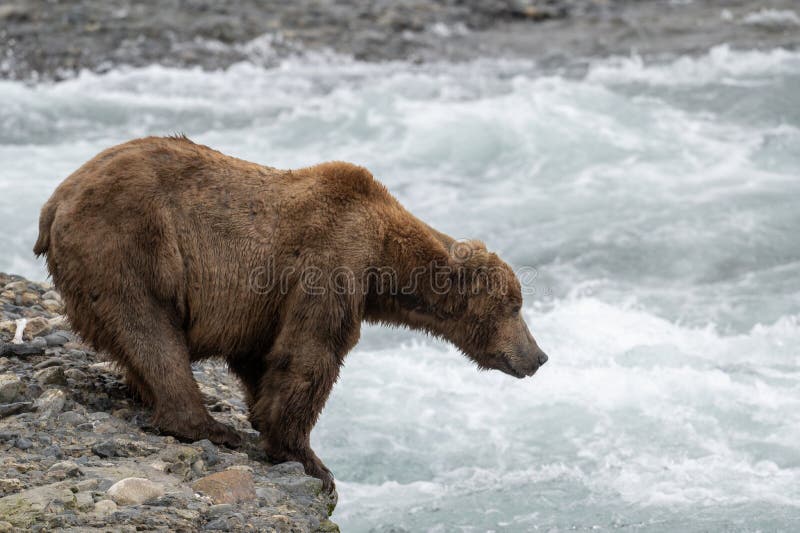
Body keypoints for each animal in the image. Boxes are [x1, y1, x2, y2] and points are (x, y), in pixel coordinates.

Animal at [33, 136, 548, 491]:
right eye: (516, 305)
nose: (539, 356)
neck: (384, 260)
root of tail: (54, 201)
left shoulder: (264, 304)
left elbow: (260, 357)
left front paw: (271, 426)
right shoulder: (332, 262)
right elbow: (310, 354)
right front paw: (310, 459)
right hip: (130, 242)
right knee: (151, 329)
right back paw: (208, 426)